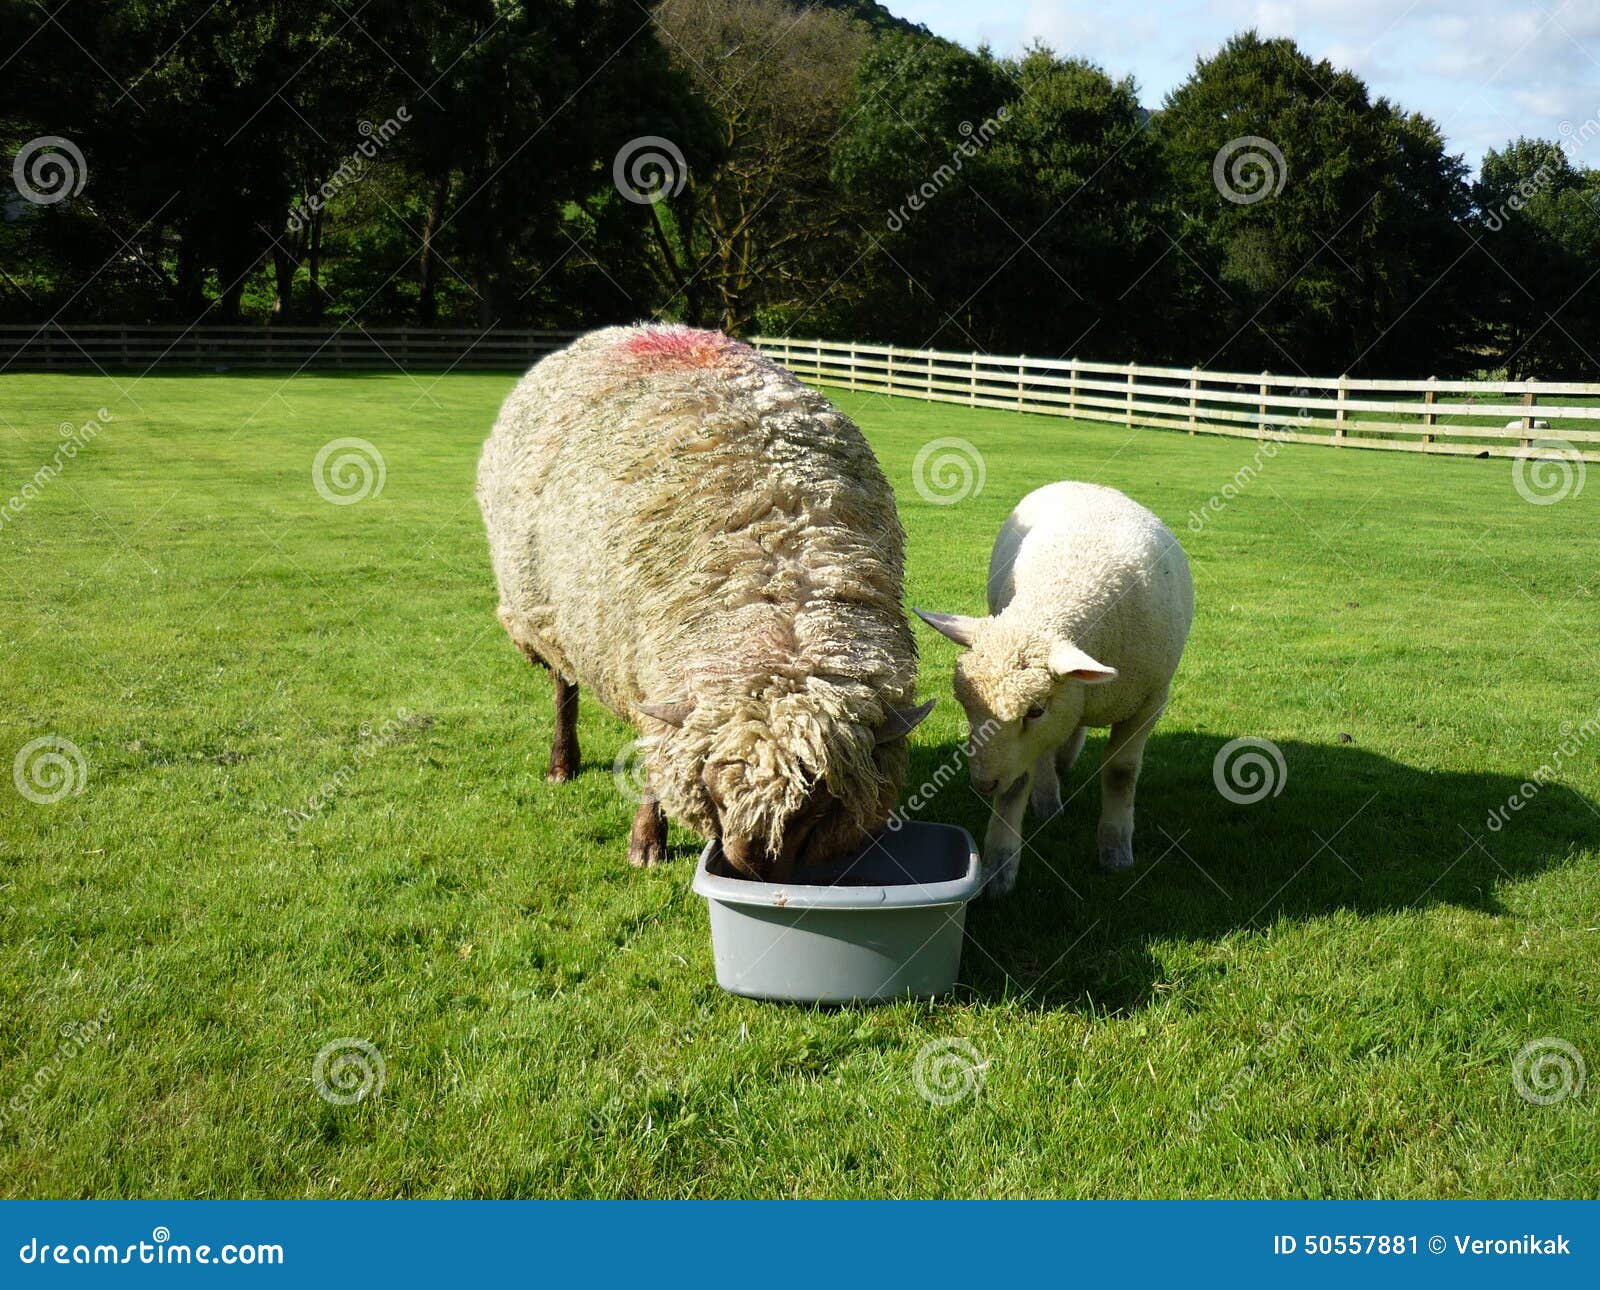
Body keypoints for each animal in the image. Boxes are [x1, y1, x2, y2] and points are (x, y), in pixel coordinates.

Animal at [477, 324, 933, 879]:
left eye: (818, 805)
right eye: (717, 786)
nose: (754, 871)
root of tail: (631, 329)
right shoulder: (649, 678)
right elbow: (656, 767)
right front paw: (646, 843)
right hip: (546, 615)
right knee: (564, 687)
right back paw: (562, 764)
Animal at [916, 481, 1193, 896]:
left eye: (1035, 710)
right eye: (963, 704)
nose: (983, 783)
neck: (1057, 605)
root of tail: (1085, 483)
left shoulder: (1149, 702)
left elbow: (1121, 773)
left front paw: (1116, 852)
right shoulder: (1022, 746)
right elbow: (1016, 784)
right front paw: (999, 869)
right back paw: (1049, 798)